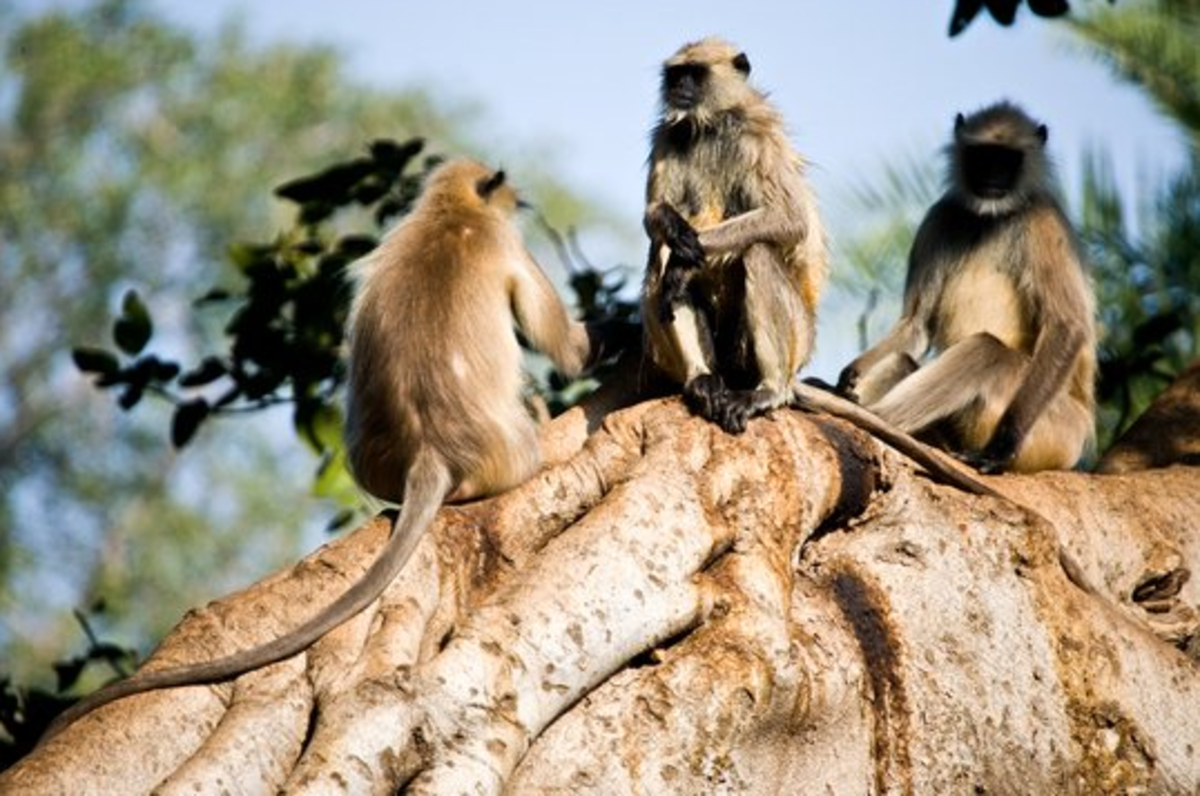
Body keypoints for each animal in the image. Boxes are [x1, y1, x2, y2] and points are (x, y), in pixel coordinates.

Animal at [43, 159, 594, 740]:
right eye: (513, 200)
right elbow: (570, 351)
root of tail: (429, 455)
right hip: (514, 454)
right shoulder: (505, 242)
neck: (449, 214)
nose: (524, 204)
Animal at [837, 101, 1096, 474]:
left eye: (1006, 159)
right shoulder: (940, 215)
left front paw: (1002, 446)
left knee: (985, 351)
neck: (990, 216)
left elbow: (1067, 325)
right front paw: (852, 372)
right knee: (902, 359)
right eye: (982, 156)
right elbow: (916, 324)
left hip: (1055, 429)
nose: (992, 177)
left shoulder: (1042, 219)